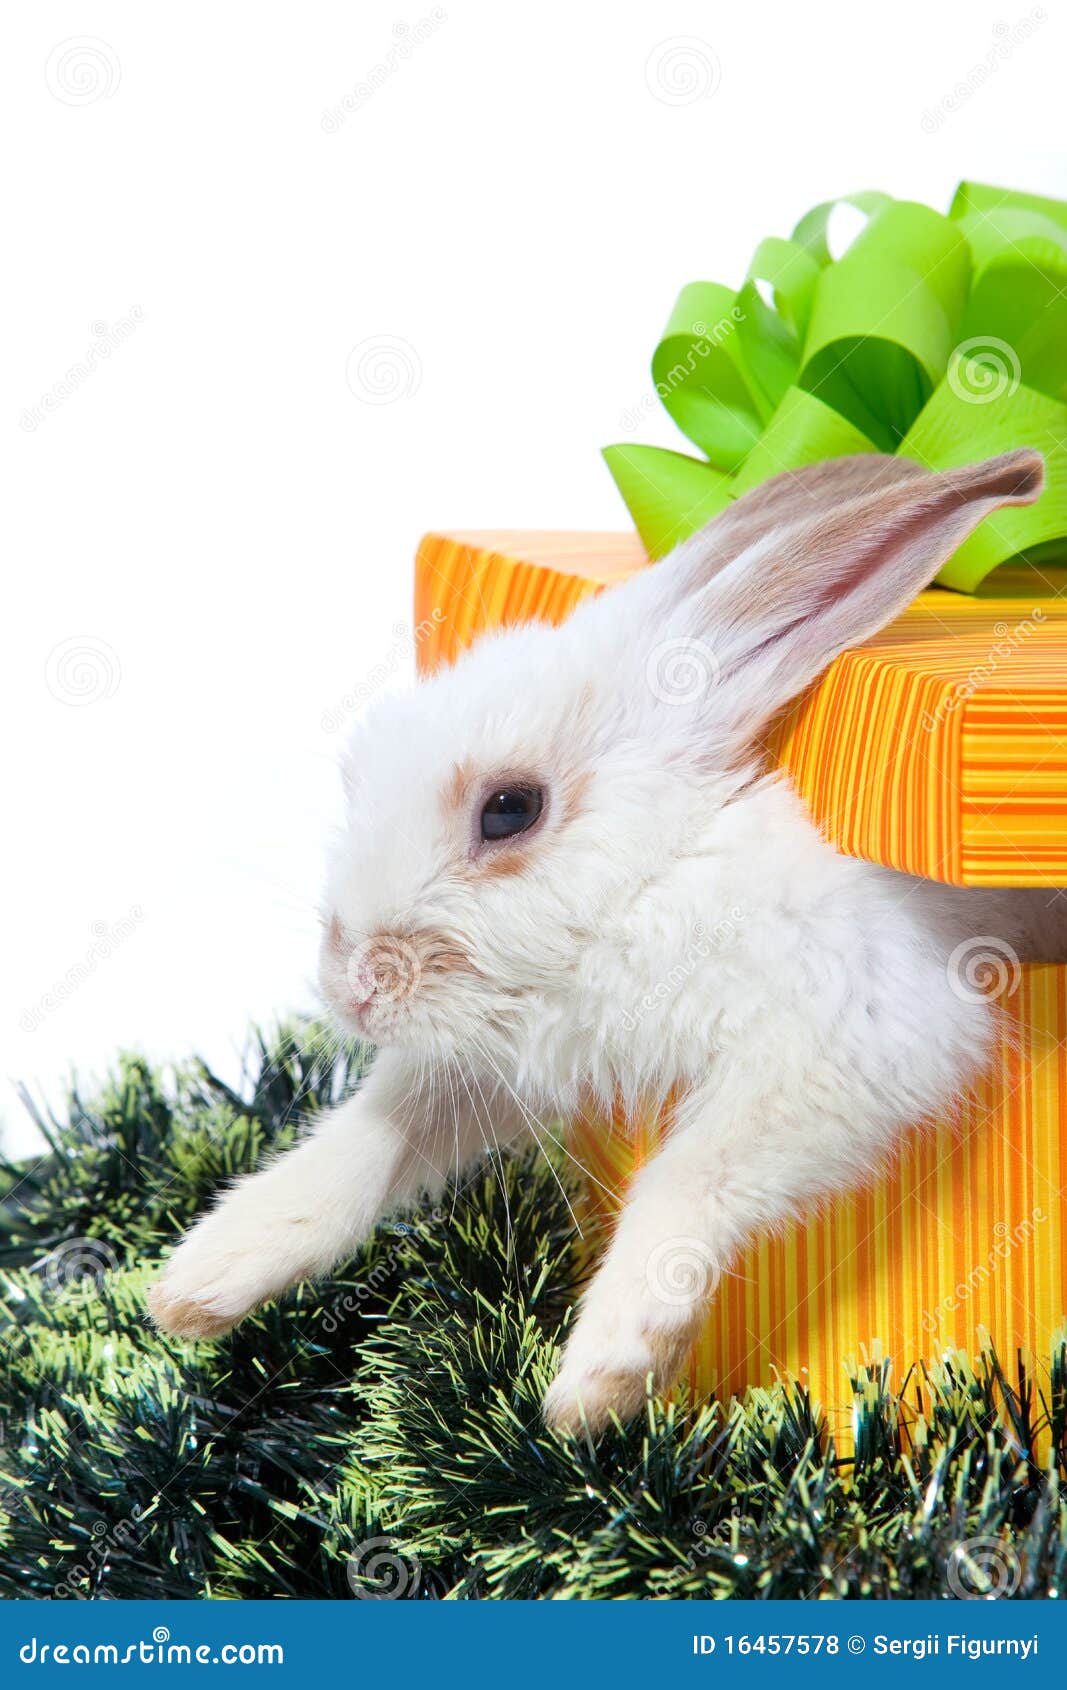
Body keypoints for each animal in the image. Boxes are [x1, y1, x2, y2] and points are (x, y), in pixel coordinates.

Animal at [149, 446, 1063, 1434]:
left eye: (509, 808)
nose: (350, 986)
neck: (658, 878)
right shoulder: (504, 1057)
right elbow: (372, 1134)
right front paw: (198, 1284)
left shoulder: (844, 1047)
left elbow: (687, 1179)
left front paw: (599, 1383)